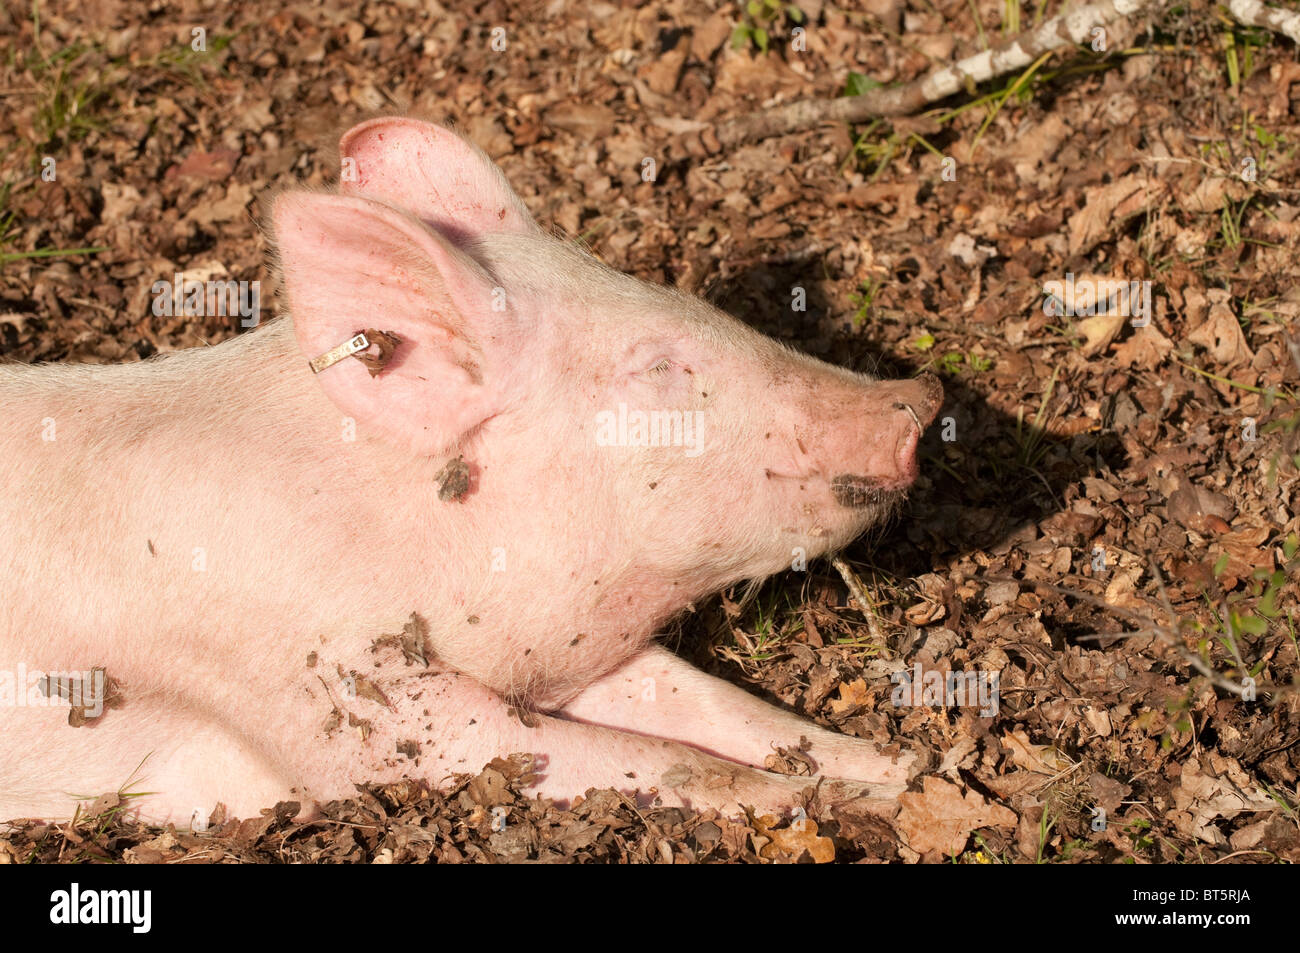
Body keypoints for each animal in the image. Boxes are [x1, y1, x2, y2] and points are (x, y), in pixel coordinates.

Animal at [0, 117, 942, 828]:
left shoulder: (559, 651)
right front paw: (857, 803)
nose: (921, 397)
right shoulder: (314, 683)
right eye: (657, 367)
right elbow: (635, 757)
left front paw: (898, 767)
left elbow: (707, 701)